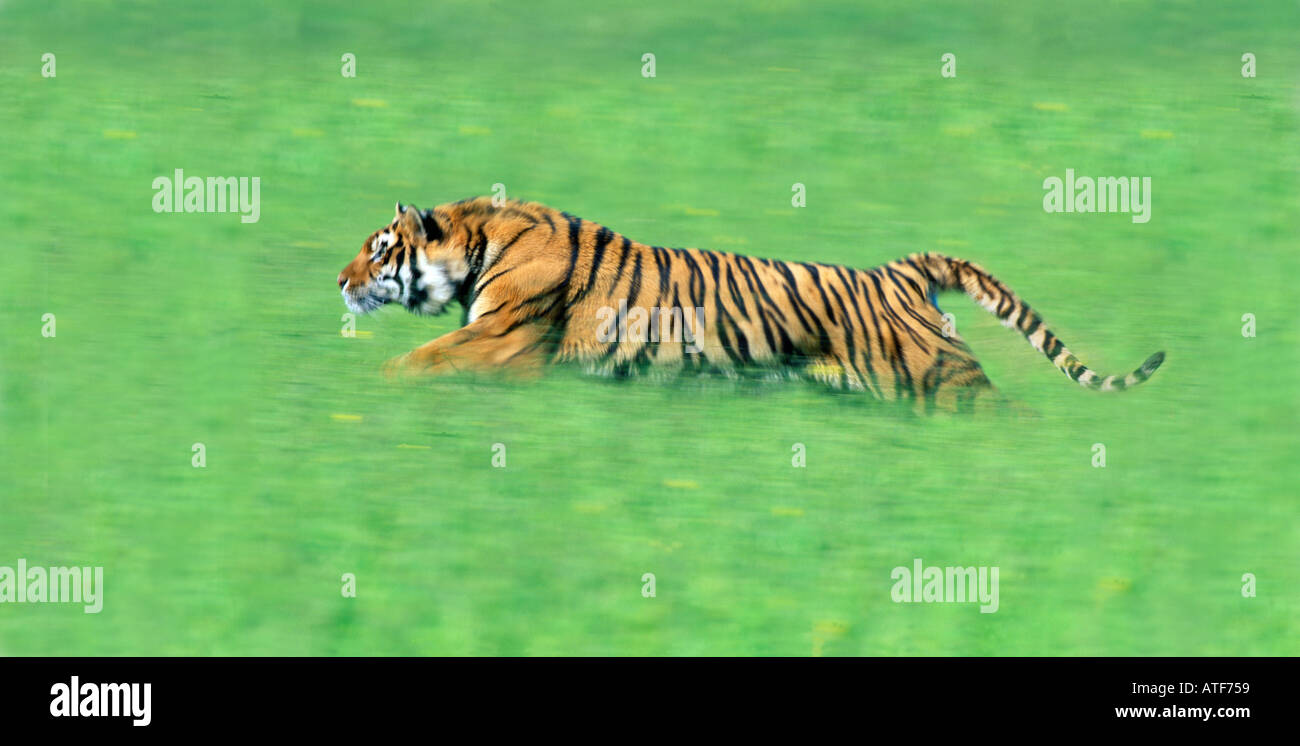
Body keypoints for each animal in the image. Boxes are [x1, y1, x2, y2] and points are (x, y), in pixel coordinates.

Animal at [336, 198, 1164, 411]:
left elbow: (417, 359)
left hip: (943, 381)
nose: (338, 280)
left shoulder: (503, 340)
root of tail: (900, 270)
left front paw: (364, 392)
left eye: (379, 250)